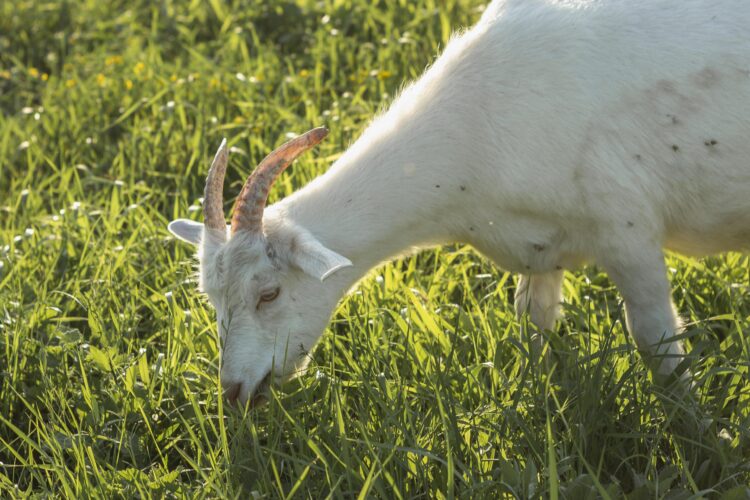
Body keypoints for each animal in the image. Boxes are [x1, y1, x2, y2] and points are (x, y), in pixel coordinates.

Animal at [169, 0, 750, 406]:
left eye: (268, 293)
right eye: (210, 299)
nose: (233, 392)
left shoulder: (626, 229)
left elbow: (656, 342)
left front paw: (700, 433)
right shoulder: (539, 249)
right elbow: (533, 324)